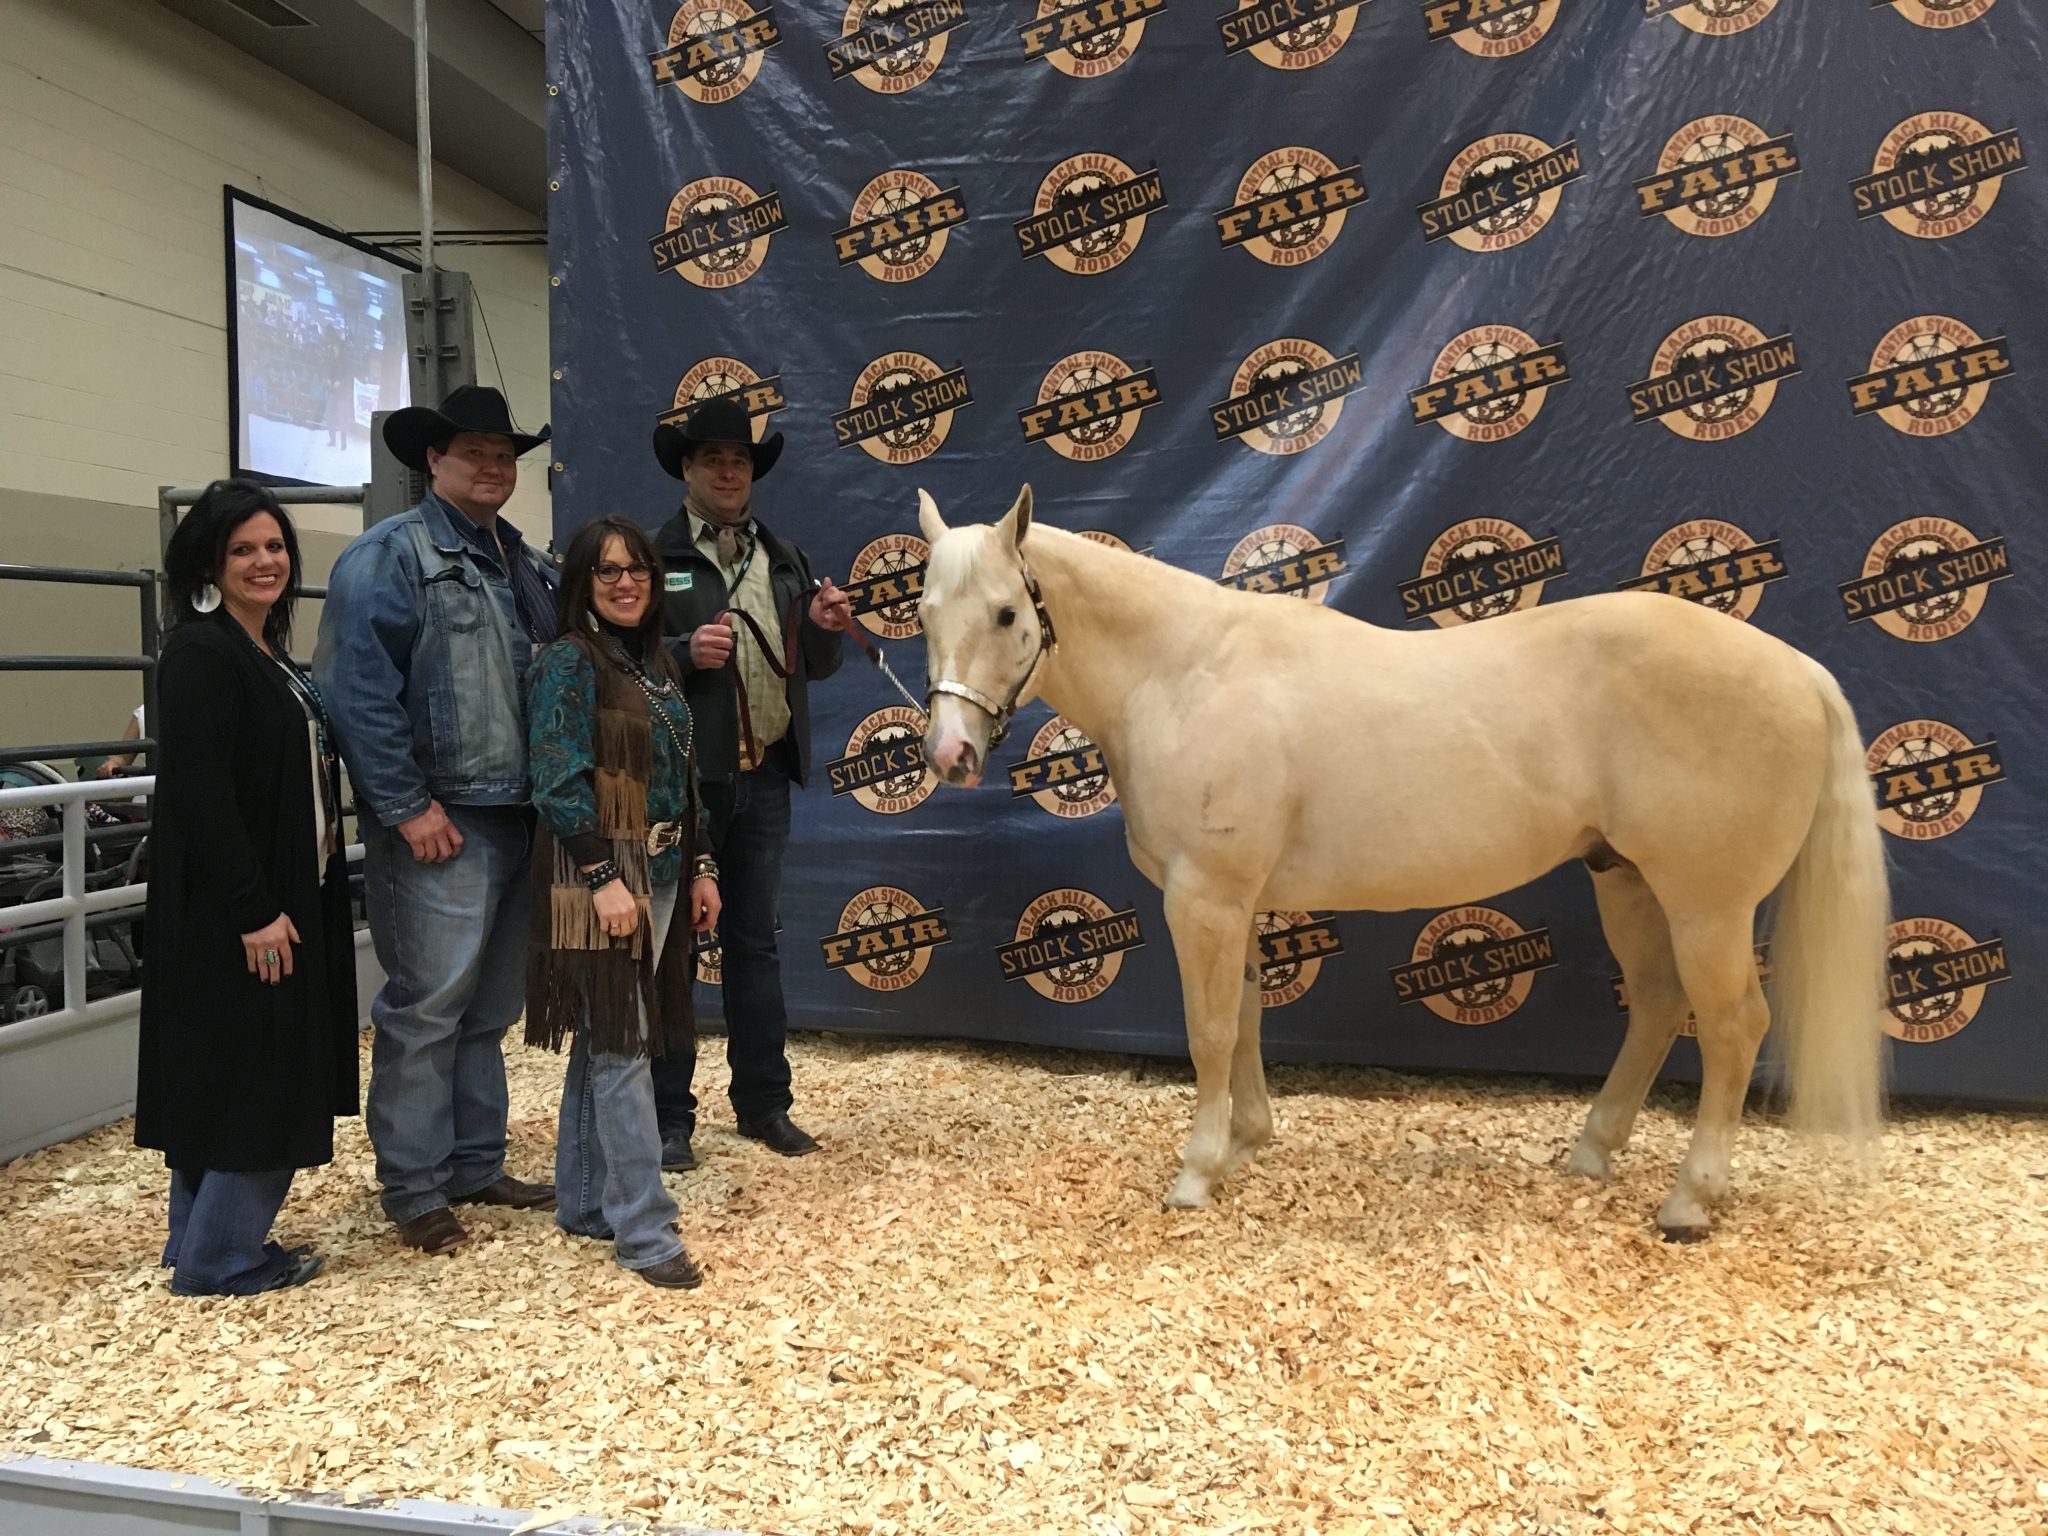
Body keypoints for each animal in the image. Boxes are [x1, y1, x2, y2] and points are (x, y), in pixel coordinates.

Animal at [913, 485, 1890, 1240]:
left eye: (1007, 613)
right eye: (922, 613)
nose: (950, 753)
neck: (1187, 672)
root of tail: (1801, 671)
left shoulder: (1206, 899)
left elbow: (1210, 1030)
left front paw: (1196, 1173)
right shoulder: (1241, 903)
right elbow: (1249, 1017)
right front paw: (1247, 1142)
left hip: (1707, 905)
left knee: (1733, 1028)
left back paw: (1689, 1201)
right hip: (1630, 882)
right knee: (1655, 1006)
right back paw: (1591, 1153)